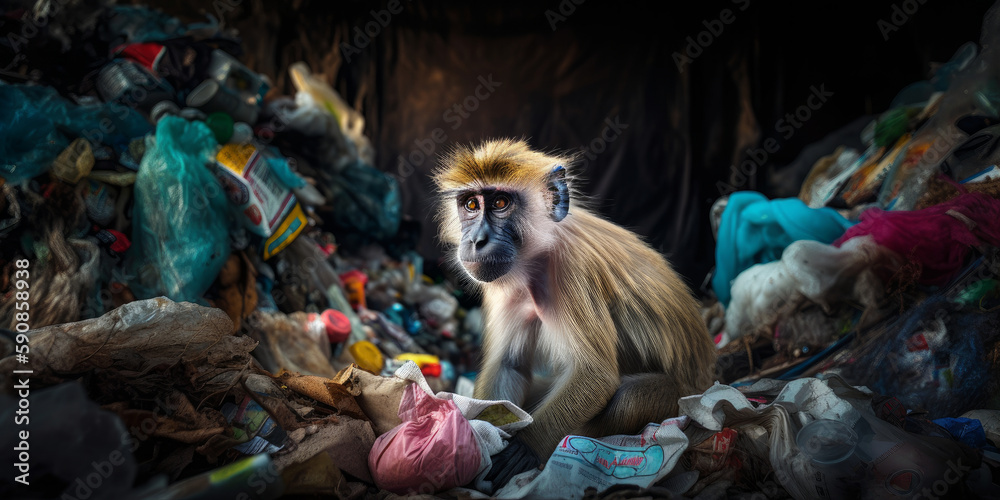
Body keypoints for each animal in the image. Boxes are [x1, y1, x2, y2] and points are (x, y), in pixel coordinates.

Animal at [434, 139, 717, 459]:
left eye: (500, 204)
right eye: (471, 204)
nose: (476, 240)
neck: (540, 253)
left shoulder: (572, 268)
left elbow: (594, 376)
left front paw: (523, 451)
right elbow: (509, 366)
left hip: (684, 400)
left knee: (627, 398)